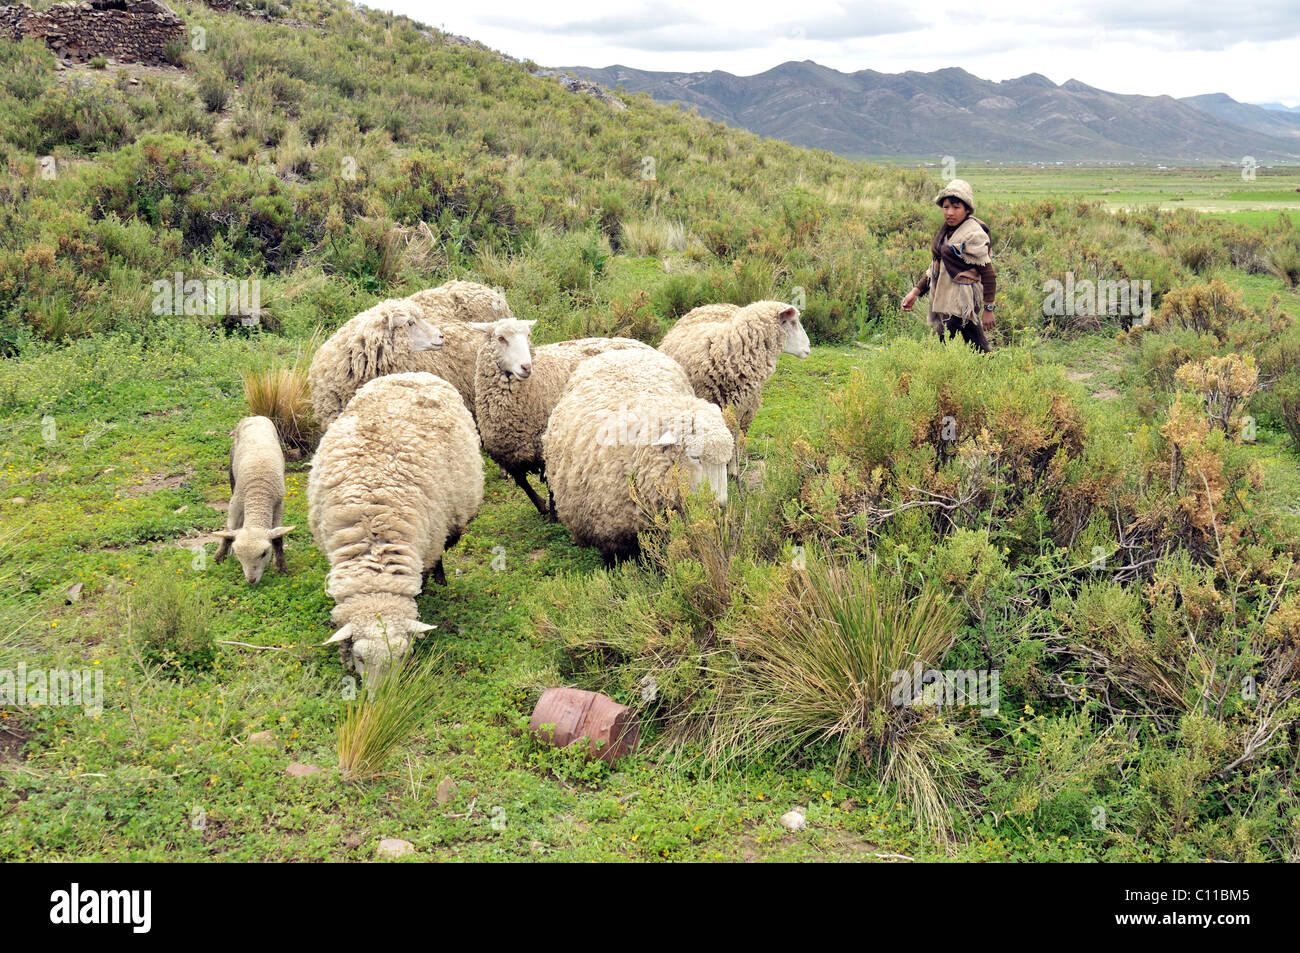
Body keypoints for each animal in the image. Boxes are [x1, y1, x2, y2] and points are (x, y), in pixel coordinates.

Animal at [214, 415, 294, 585]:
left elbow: (278, 539)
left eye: (264, 553)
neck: (258, 495)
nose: (251, 580)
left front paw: (281, 567)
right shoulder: (236, 501)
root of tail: (256, 416)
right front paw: (219, 557)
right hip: (232, 470)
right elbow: (228, 531)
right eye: (240, 555)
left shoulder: (278, 504)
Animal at [471, 318, 655, 517]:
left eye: (528, 335)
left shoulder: (547, 447)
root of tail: (639, 343)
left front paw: (553, 514)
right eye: (501, 338)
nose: (526, 367)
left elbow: (551, 487)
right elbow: (523, 483)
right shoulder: (509, 454)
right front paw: (541, 506)